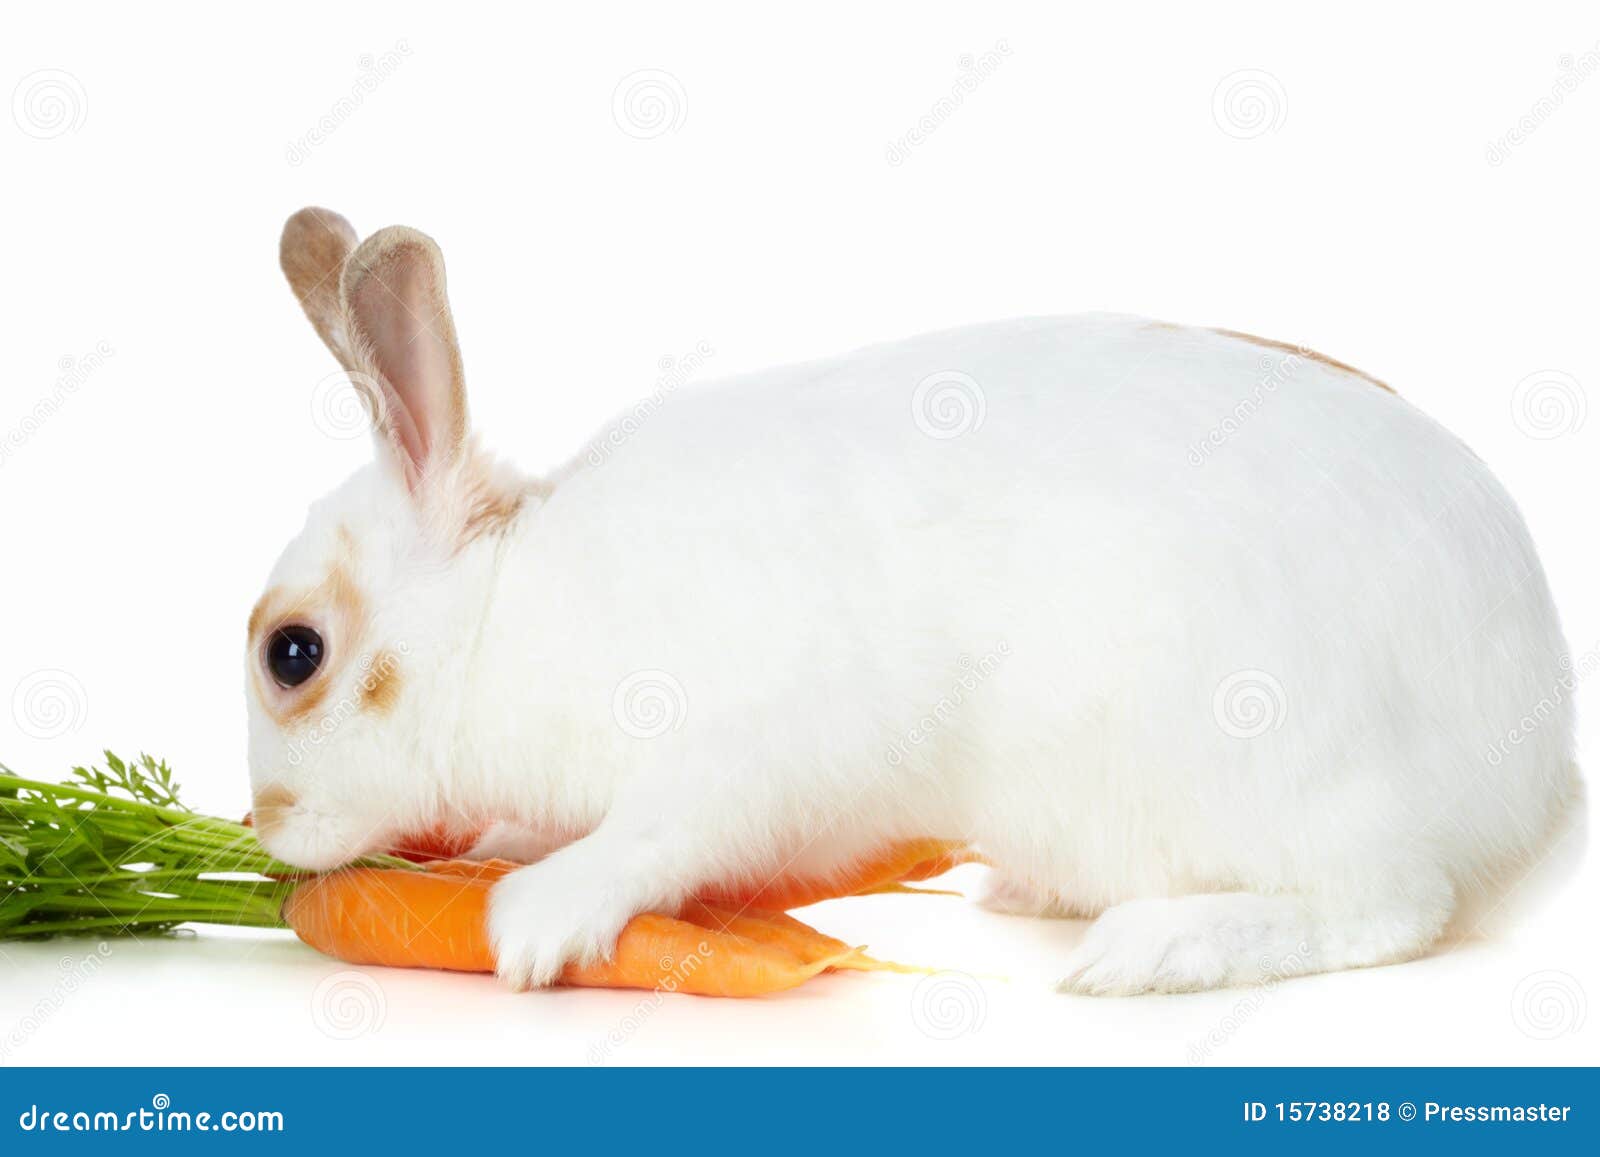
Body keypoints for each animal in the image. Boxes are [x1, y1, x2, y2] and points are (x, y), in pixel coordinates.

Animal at [247, 206, 1582, 995]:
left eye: (293, 651)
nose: (265, 826)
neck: (506, 613)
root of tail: (1534, 772)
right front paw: (509, 849)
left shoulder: (750, 751)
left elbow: (657, 836)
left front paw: (538, 917)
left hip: (1281, 779)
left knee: (1387, 910)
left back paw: (1144, 947)